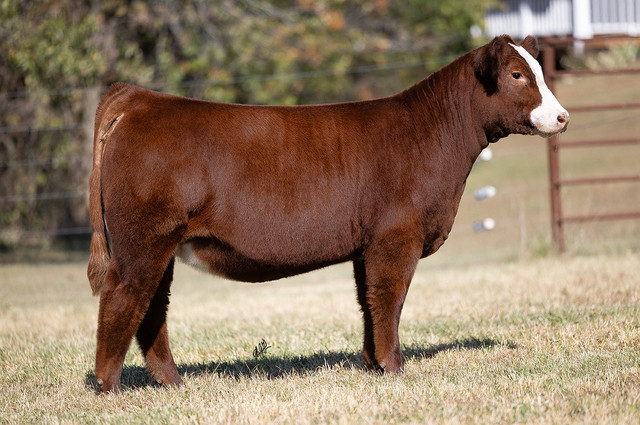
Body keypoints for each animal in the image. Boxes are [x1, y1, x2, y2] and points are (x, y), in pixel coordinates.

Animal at [87, 35, 568, 392]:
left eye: (539, 71)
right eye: (516, 74)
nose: (562, 116)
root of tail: (139, 98)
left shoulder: (367, 244)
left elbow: (368, 301)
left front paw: (373, 364)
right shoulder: (397, 236)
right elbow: (389, 299)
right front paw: (395, 368)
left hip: (161, 244)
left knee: (152, 306)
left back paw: (172, 382)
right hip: (143, 240)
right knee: (122, 297)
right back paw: (109, 387)